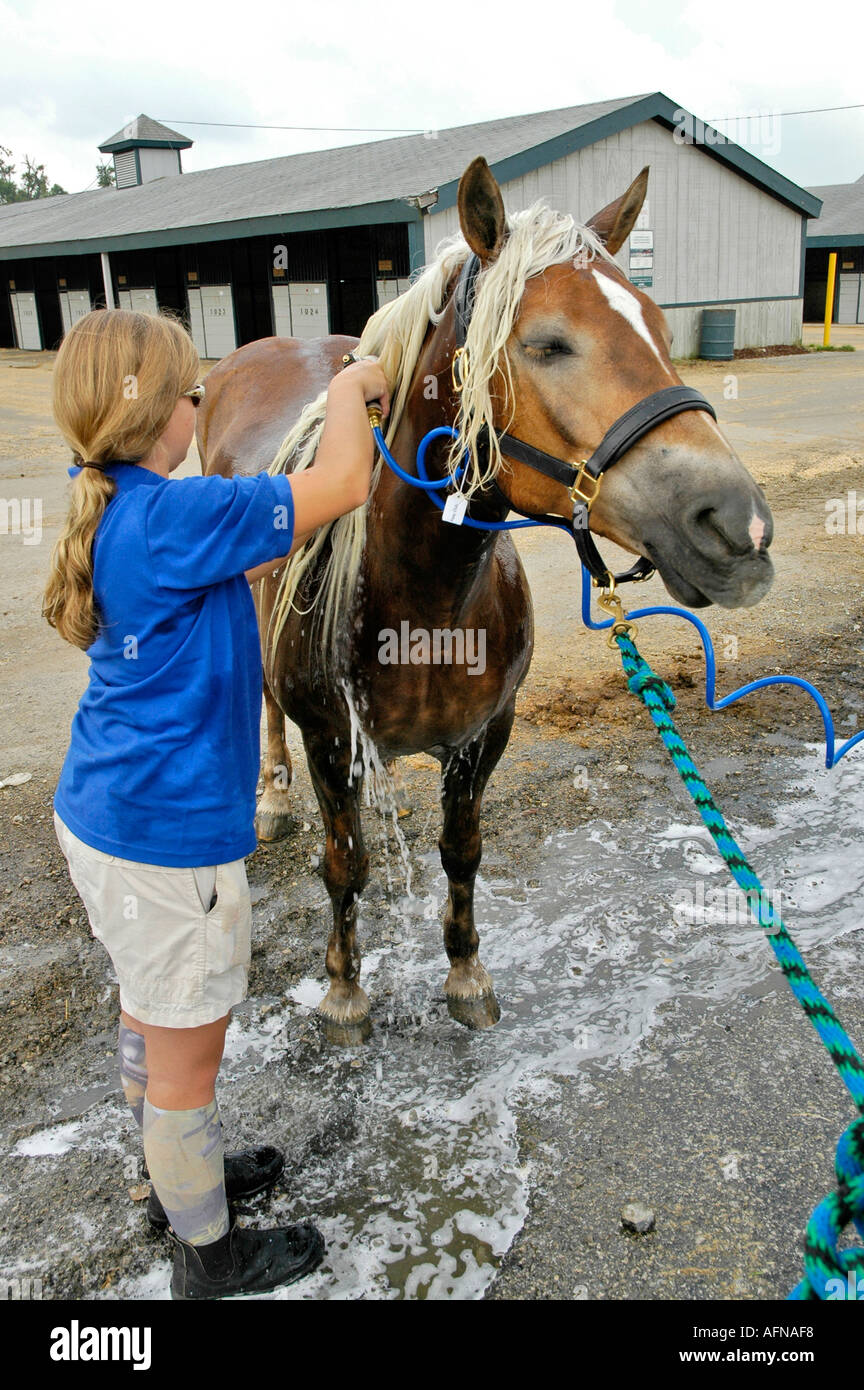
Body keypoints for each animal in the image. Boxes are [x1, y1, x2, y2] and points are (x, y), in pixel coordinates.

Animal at [197, 156, 774, 1038]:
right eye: (547, 343)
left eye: (660, 329)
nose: (738, 528)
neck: (424, 601)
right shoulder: (330, 741)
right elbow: (345, 865)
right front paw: (344, 988)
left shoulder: (483, 736)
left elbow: (461, 852)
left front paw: (466, 971)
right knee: (262, 708)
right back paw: (269, 797)